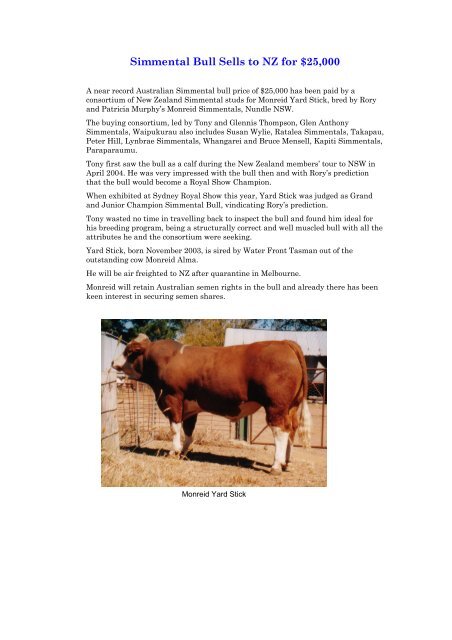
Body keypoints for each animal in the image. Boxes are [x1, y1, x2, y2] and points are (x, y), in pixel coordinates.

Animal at [112, 334, 312, 475]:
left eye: (128, 351)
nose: (113, 362)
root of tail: (285, 343)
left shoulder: (172, 397)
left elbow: (175, 428)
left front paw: (173, 452)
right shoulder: (190, 407)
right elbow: (188, 431)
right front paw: (184, 452)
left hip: (276, 406)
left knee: (281, 431)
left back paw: (276, 465)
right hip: (291, 407)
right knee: (292, 430)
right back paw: (286, 463)